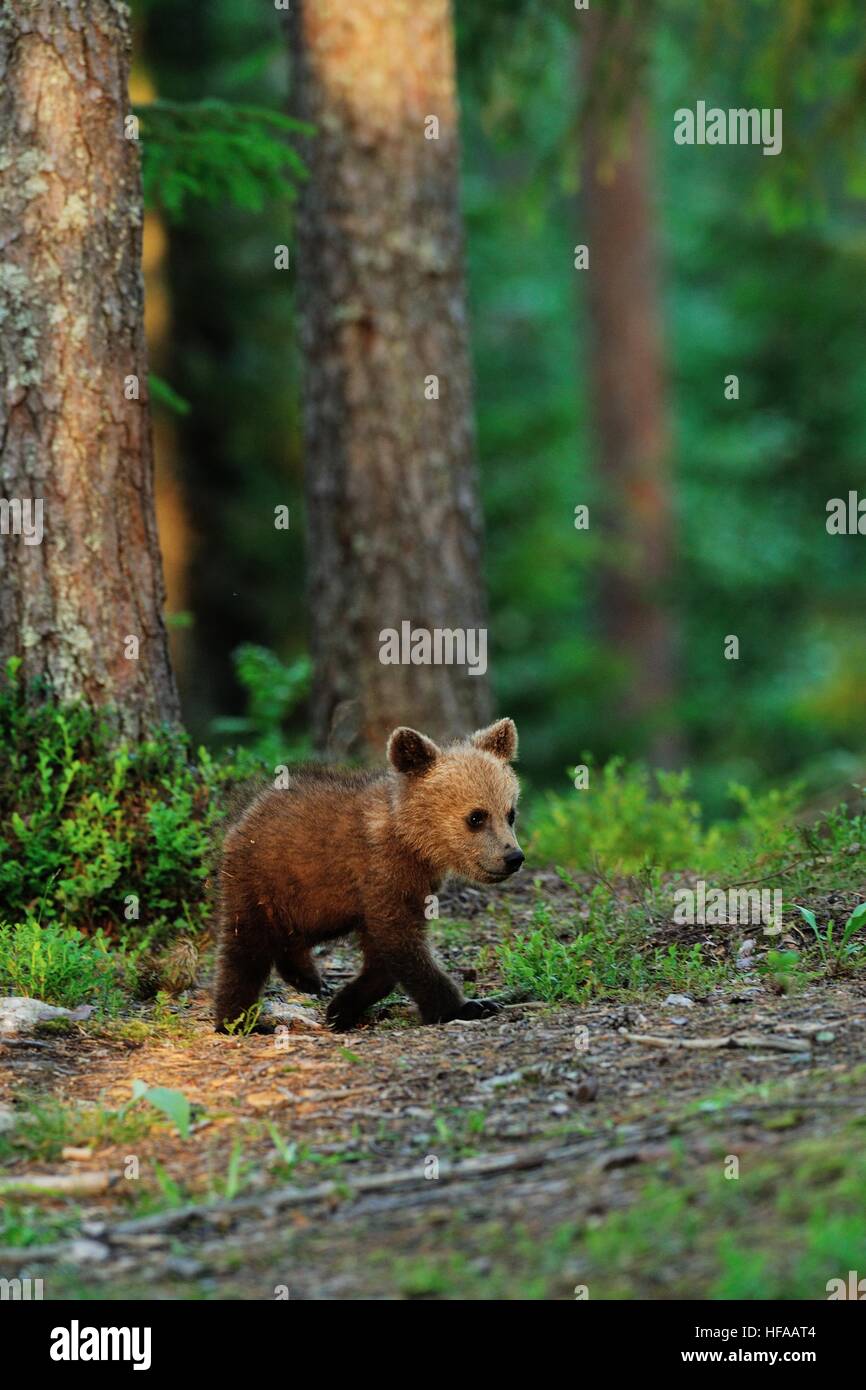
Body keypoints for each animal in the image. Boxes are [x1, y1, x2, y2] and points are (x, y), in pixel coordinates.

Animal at [213, 716, 523, 1033]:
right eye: (476, 817)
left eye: (510, 813)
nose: (513, 857)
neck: (412, 843)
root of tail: (248, 810)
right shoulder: (380, 876)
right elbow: (401, 946)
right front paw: (465, 1006)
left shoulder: (411, 888)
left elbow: (384, 959)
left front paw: (342, 1007)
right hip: (263, 881)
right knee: (245, 949)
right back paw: (237, 1020)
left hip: (311, 900)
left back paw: (309, 979)